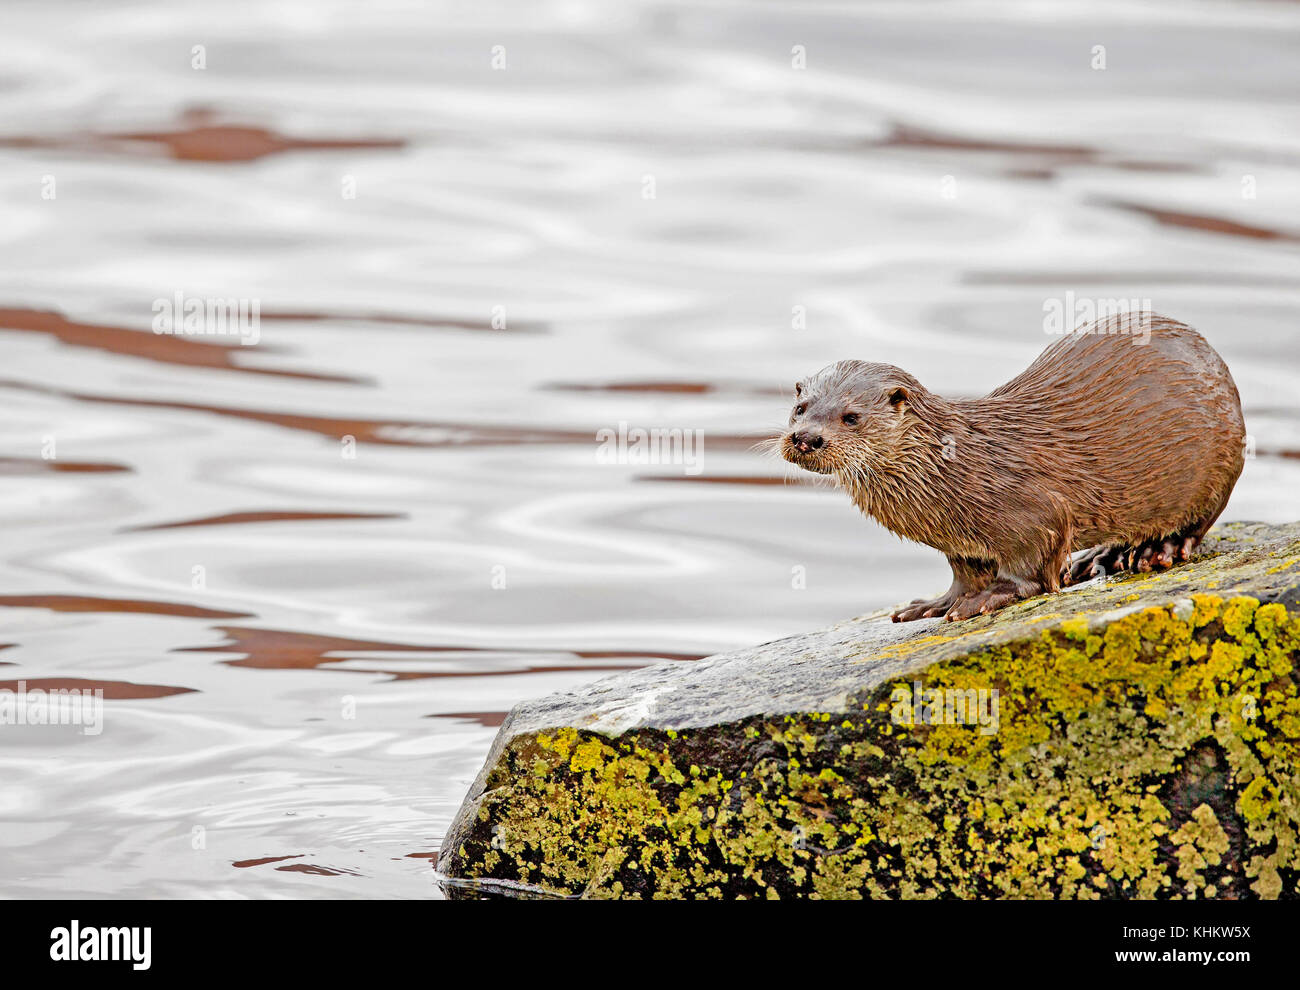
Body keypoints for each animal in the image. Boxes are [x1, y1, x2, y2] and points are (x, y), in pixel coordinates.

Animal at [780, 312, 1245, 621]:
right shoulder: (957, 539)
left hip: (1221, 463)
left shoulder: (1034, 511)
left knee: (1200, 522)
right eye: (800, 408)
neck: (953, 470)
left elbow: (1028, 568)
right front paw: (936, 603)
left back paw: (1153, 550)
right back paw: (1102, 556)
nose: (806, 438)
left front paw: (986, 598)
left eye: (851, 417)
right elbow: (964, 570)